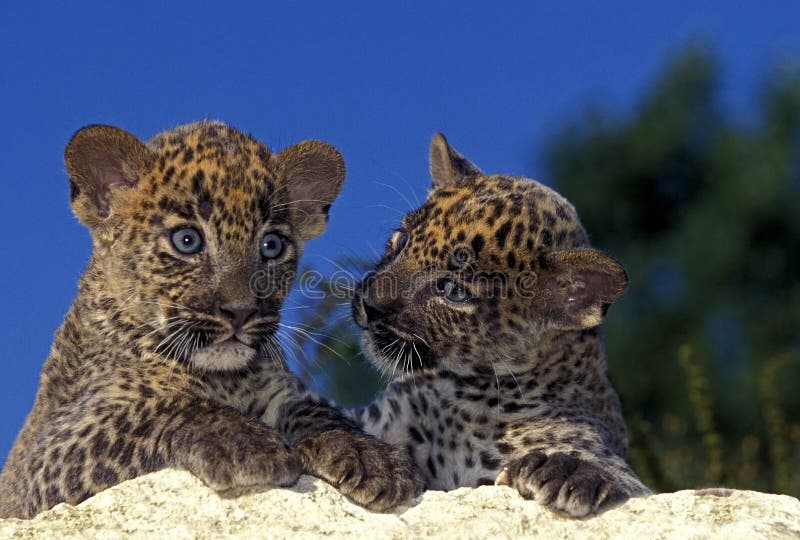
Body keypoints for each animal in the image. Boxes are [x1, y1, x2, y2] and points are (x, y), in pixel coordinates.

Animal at [0, 121, 421, 519]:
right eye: (187, 241)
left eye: (272, 246)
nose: (241, 311)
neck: (226, 380)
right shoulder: (48, 454)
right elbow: (162, 408)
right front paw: (246, 444)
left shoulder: (283, 393)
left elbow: (319, 411)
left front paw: (370, 455)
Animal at [349, 133, 650, 517]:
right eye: (402, 240)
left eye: (453, 291)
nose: (370, 305)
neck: (463, 394)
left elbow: (623, 479)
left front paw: (570, 471)